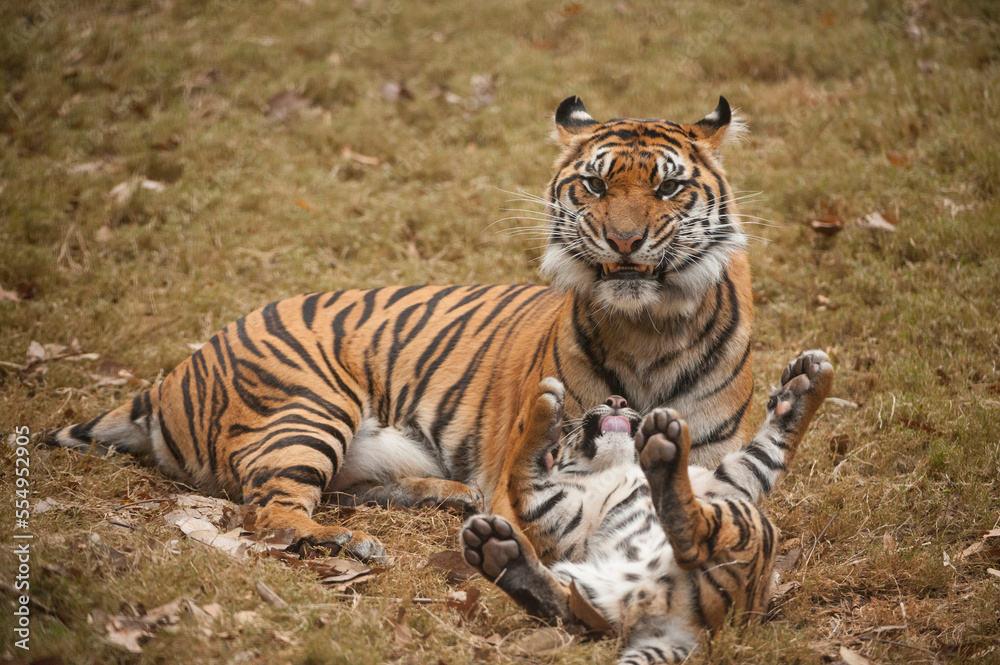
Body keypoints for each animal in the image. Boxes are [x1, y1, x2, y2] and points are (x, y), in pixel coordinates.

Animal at [46, 96, 754, 563]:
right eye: (595, 185)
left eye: (667, 189)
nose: (625, 240)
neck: (647, 329)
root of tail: (175, 370)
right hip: (306, 408)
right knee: (271, 513)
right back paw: (349, 542)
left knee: (346, 493)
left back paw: (450, 497)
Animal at [460, 351, 834, 664]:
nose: (615, 399)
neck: (614, 464)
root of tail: (692, 635)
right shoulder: (561, 518)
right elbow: (520, 468)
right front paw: (543, 400)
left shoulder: (729, 484)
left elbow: (769, 449)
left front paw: (808, 379)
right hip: (745, 527)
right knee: (690, 536)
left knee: (570, 611)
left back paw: (499, 550)